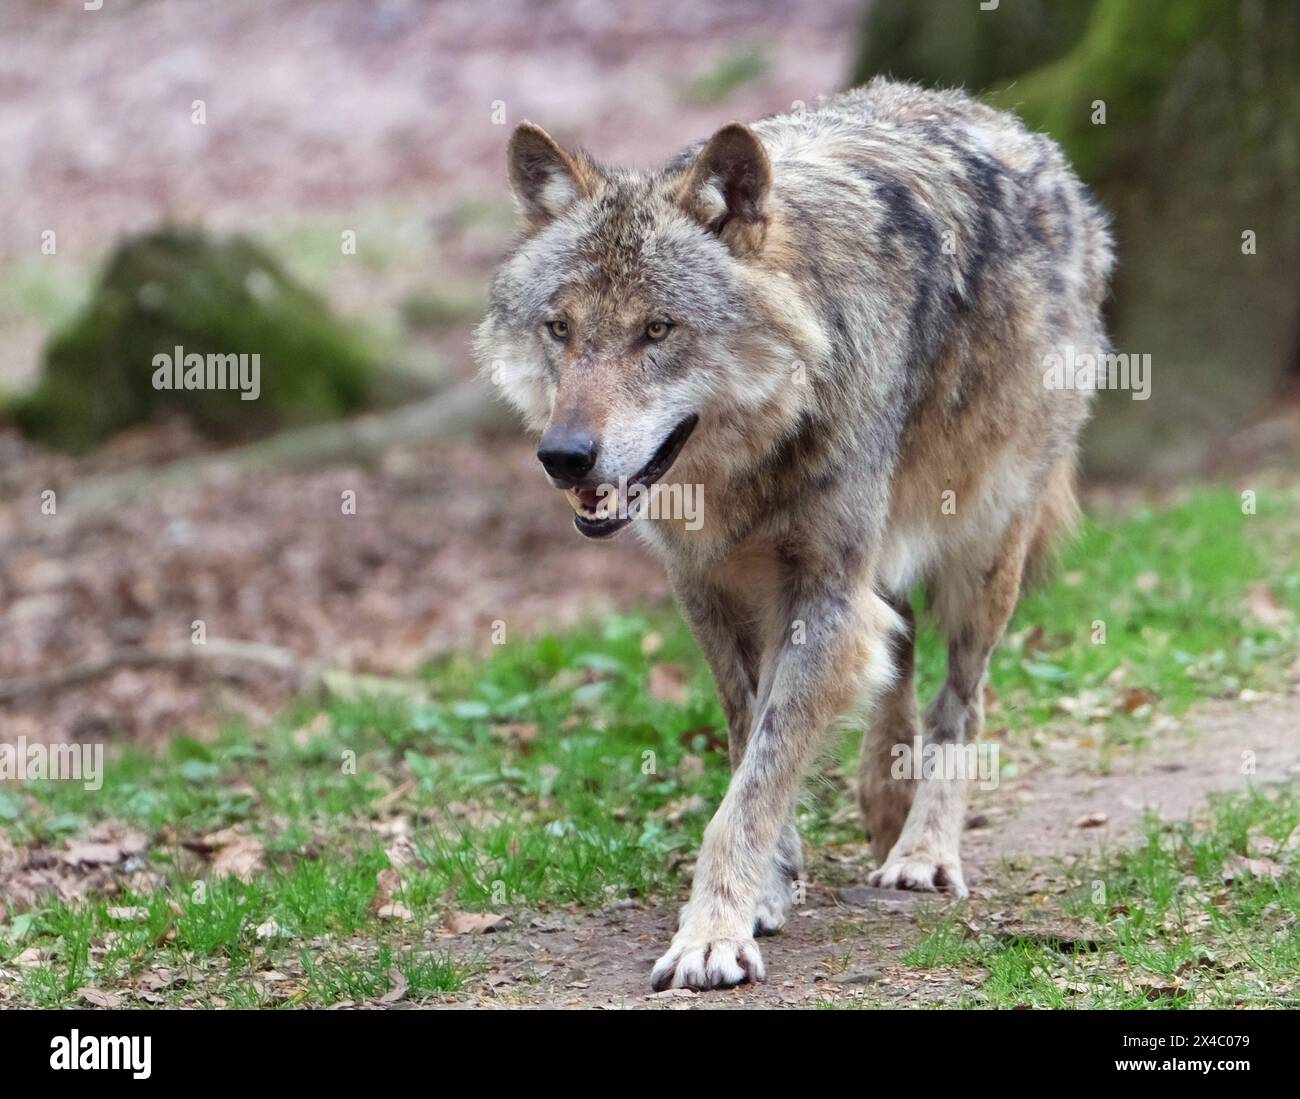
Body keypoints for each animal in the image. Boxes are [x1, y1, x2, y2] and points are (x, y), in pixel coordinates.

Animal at [475, 78, 1113, 991]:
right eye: (560, 328)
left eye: (657, 329)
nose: (563, 455)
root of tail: (1013, 125)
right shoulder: (710, 590)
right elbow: (752, 743)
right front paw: (769, 889)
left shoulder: (822, 593)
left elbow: (752, 785)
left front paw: (712, 932)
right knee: (899, 648)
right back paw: (886, 799)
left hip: (983, 551)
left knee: (961, 700)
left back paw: (924, 849)